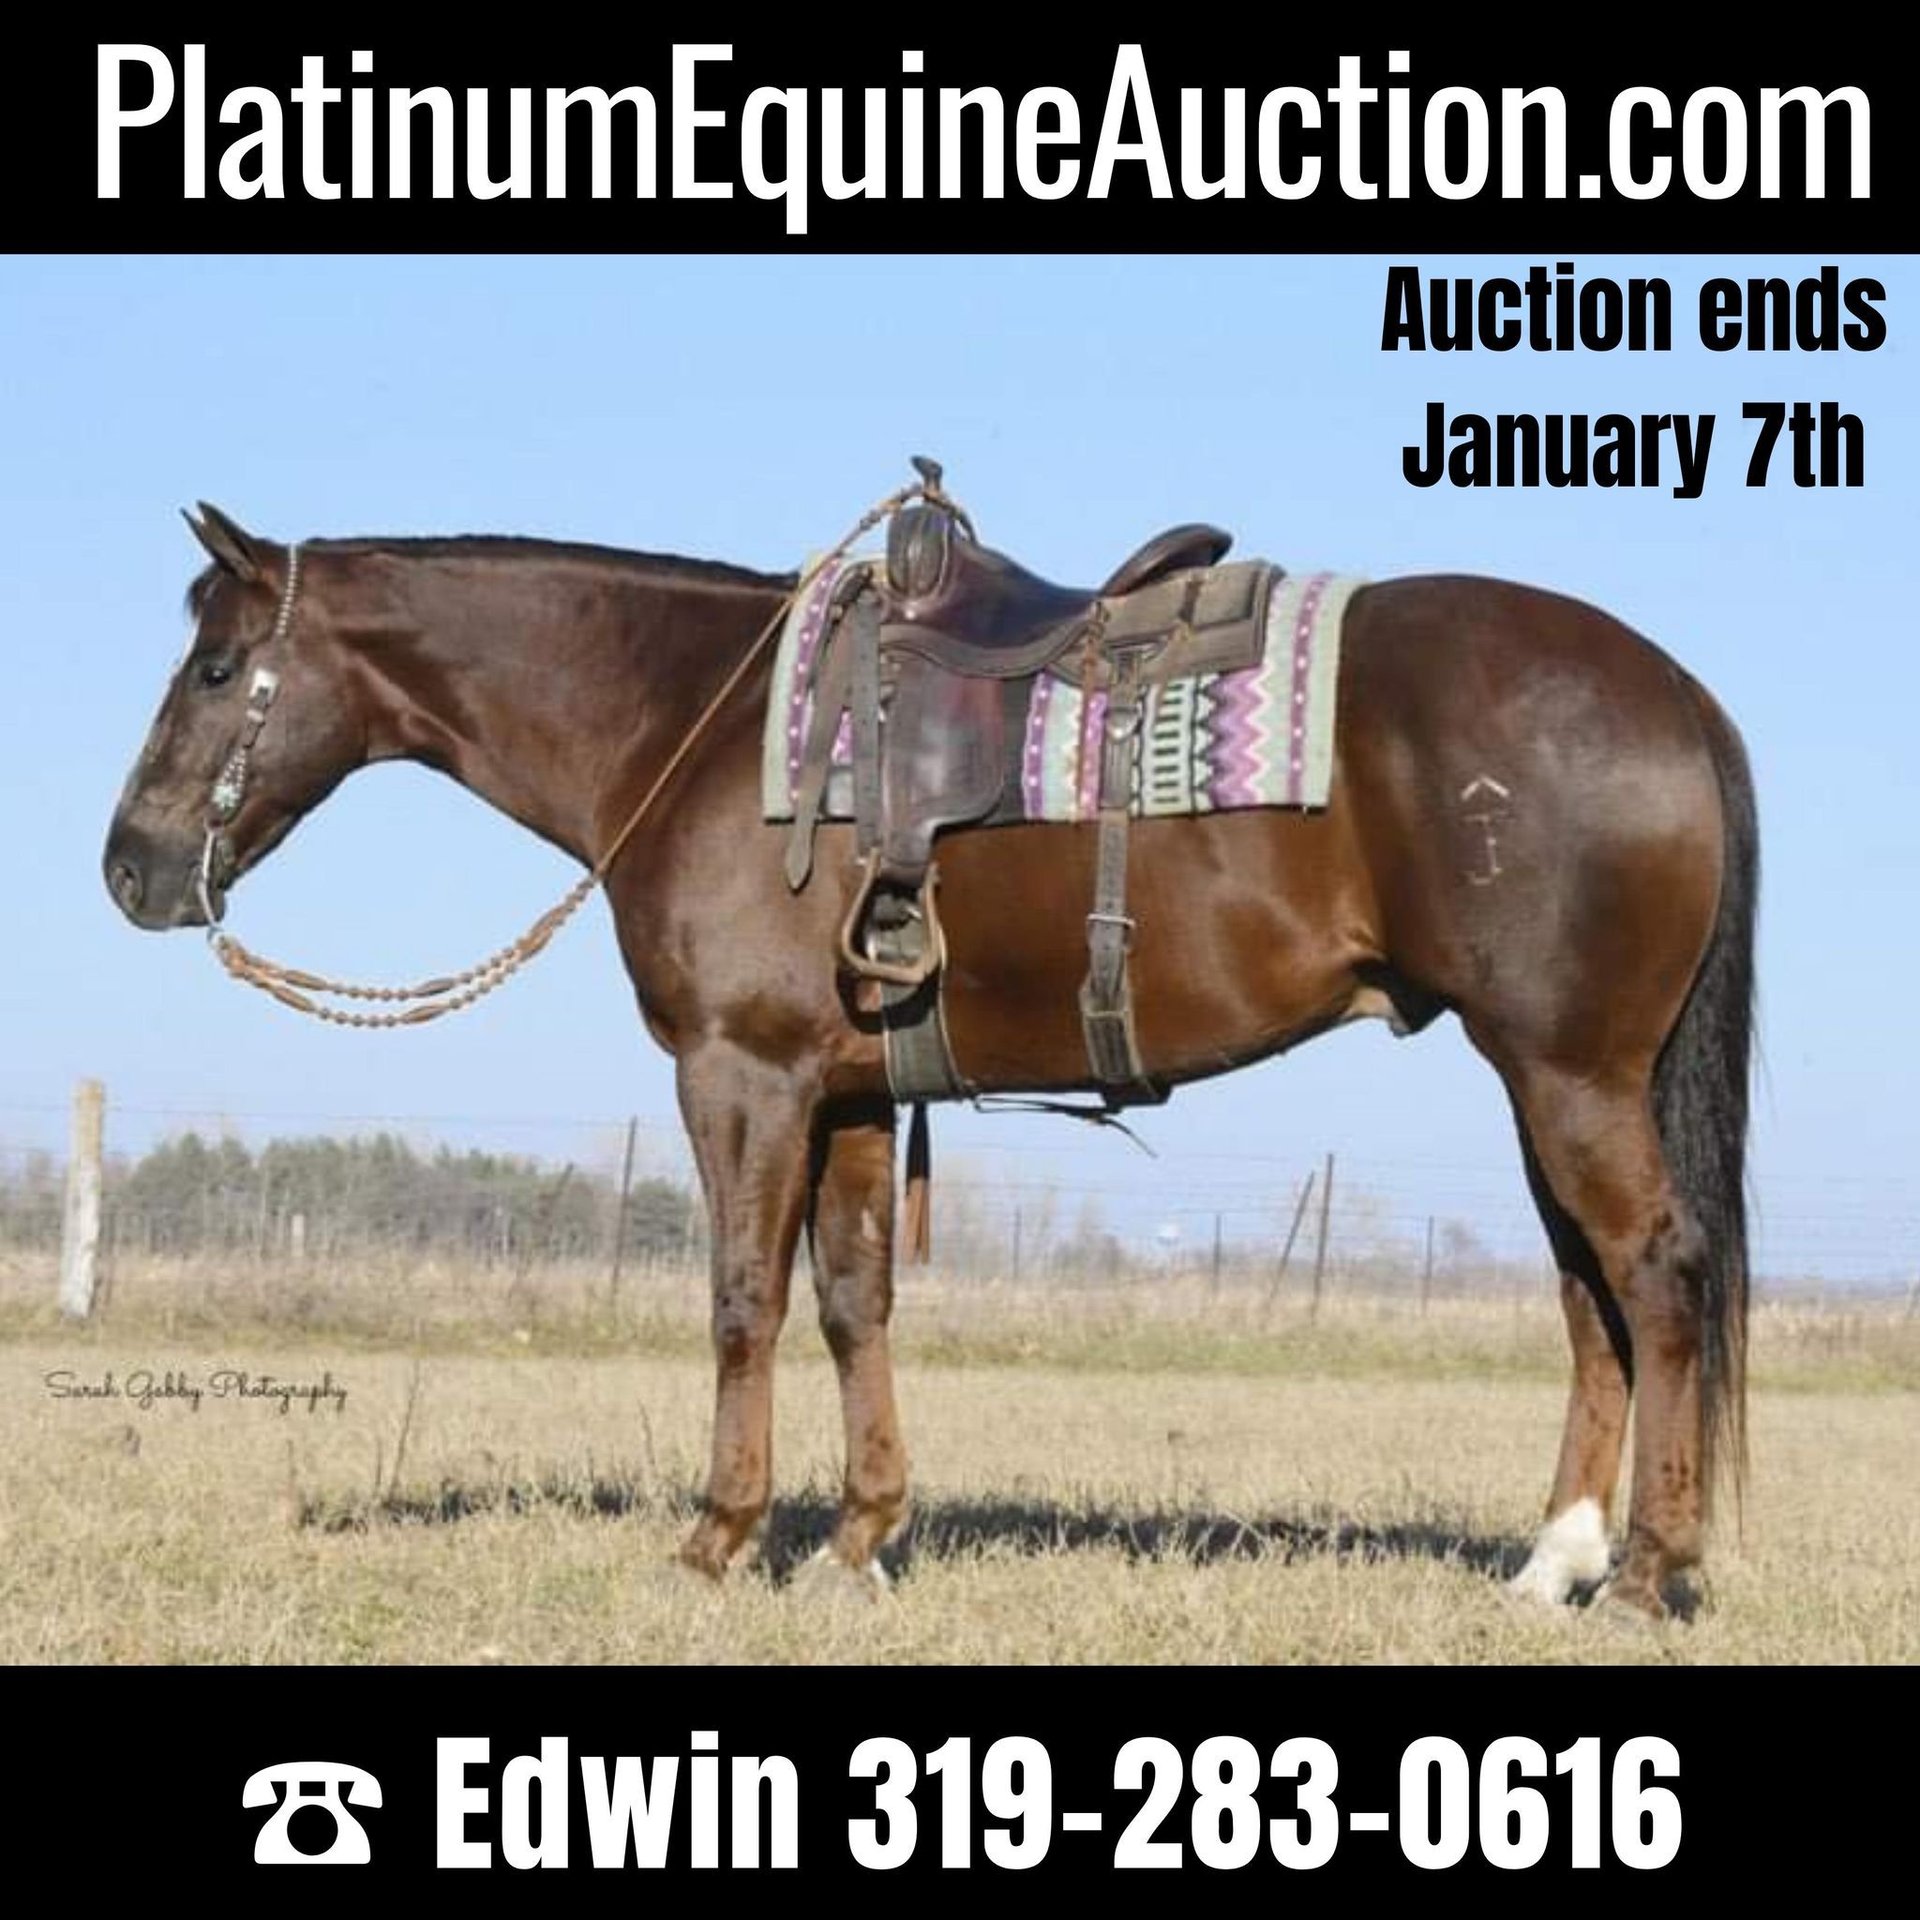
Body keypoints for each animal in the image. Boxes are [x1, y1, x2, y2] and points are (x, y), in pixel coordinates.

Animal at [102, 497, 1756, 1619]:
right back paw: (1554, 1561)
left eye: (216, 668)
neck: (696, 727)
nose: (132, 869)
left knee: (1654, 1271)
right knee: (1590, 1296)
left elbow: (742, 1303)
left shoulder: (743, 1076)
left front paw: (717, 1538)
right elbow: (853, 1303)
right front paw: (859, 1537)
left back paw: (1651, 1572)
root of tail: (1672, 688)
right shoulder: (846, 1093)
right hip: (1545, 1080)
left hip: (1568, 1074)